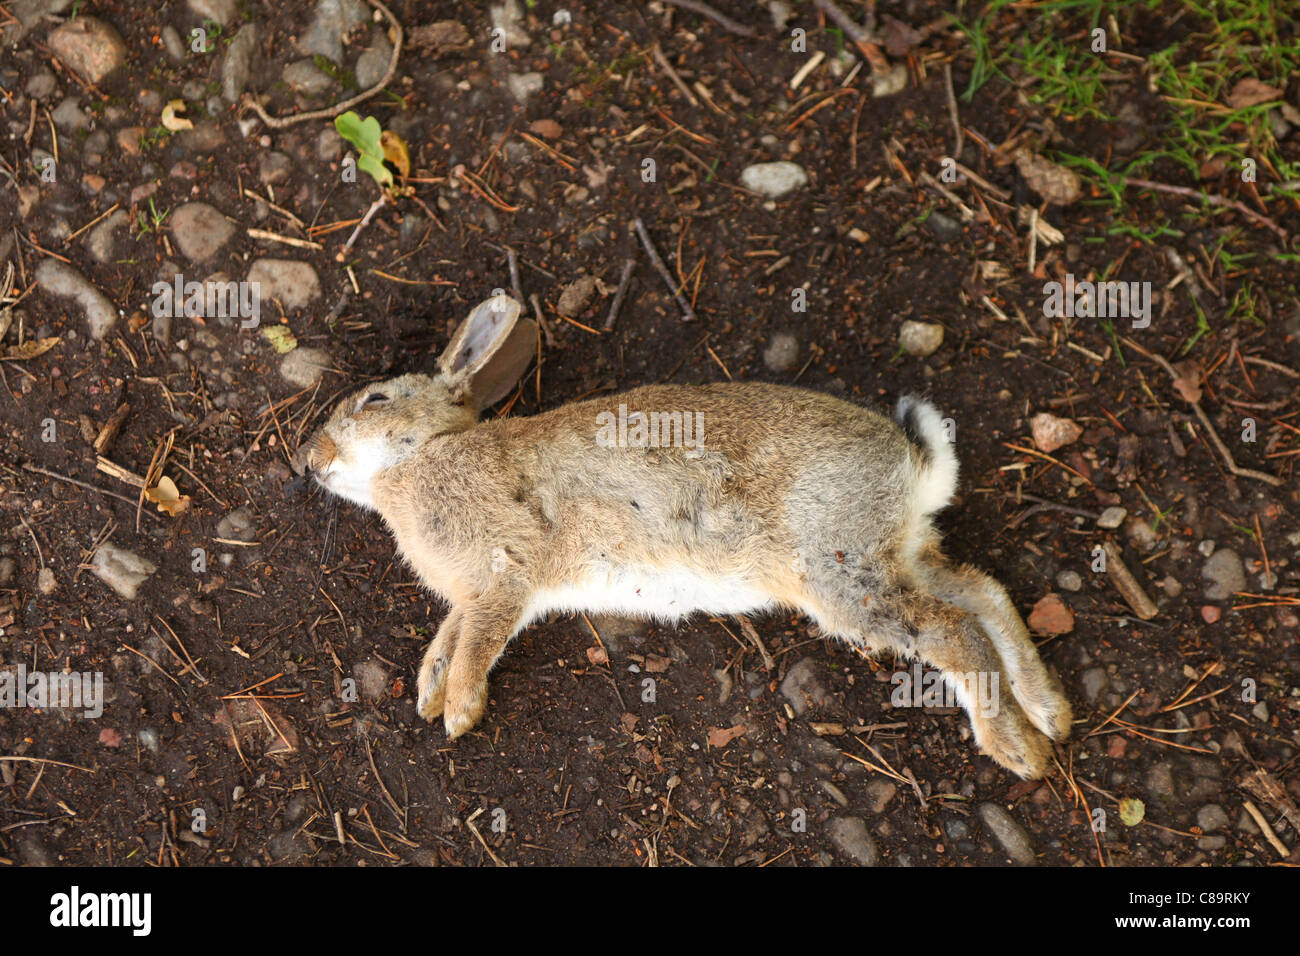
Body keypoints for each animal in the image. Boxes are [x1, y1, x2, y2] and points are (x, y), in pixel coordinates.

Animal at [291, 294, 1072, 779]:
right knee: (980, 591)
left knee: (951, 629)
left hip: (837, 571)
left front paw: (458, 711)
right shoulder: (484, 592)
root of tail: (914, 465)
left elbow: (476, 642)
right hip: (889, 554)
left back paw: (1017, 750)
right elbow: (452, 633)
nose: (309, 458)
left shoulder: (507, 572)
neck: (421, 457)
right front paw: (428, 690)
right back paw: (1049, 711)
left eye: (374, 400)